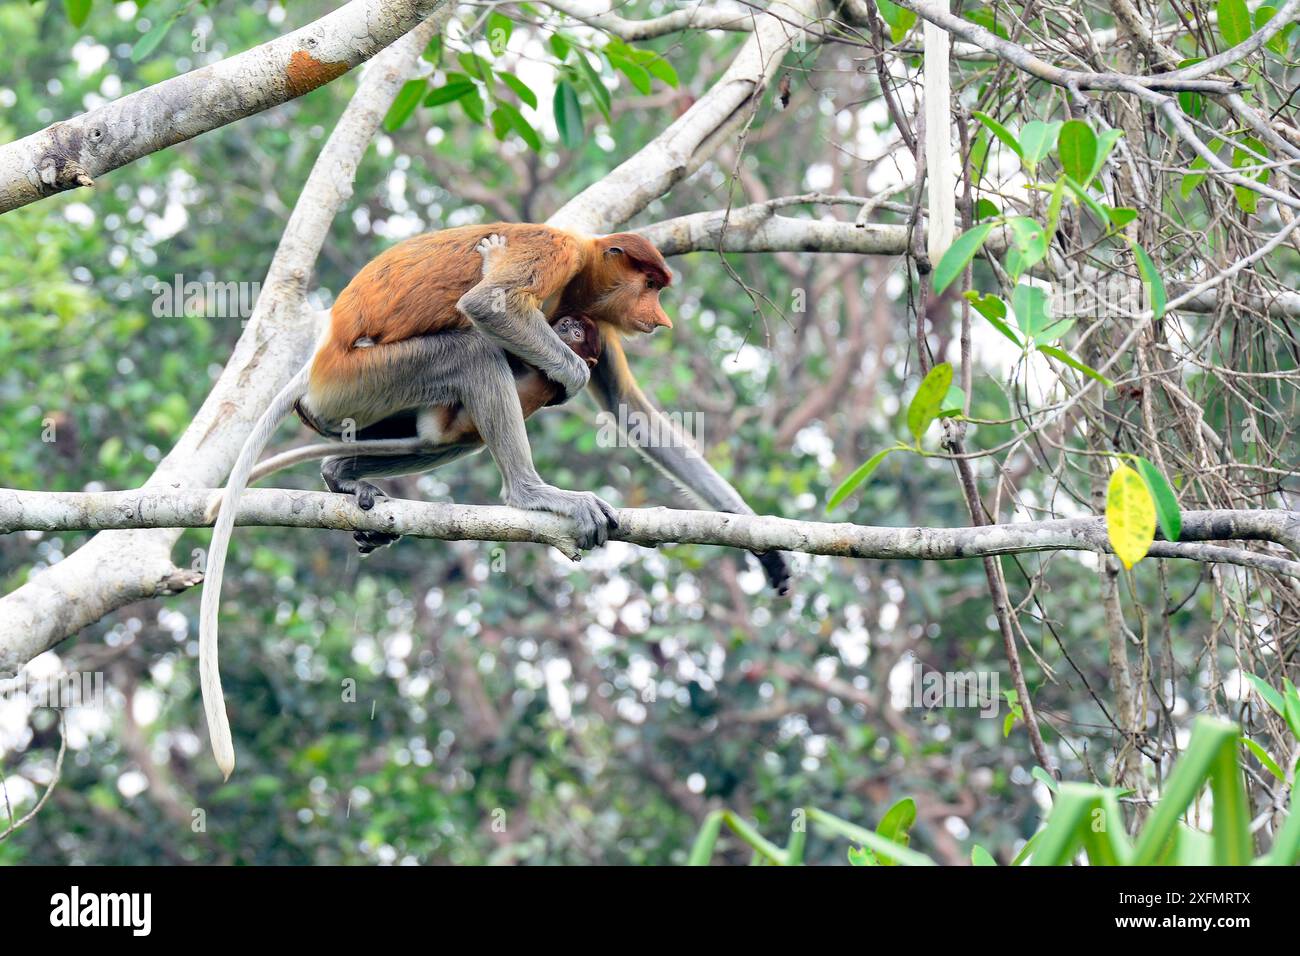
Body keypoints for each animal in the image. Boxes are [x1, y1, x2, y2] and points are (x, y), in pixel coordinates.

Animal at [200, 224, 791, 779]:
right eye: (651, 285)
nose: (660, 318)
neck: (581, 271)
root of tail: (317, 368)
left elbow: (633, 412)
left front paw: (762, 545)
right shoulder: (553, 253)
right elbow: (489, 305)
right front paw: (566, 367)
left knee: (448, 420)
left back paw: (345, 476)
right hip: (362, 379)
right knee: (473, 350)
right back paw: (532, 493)